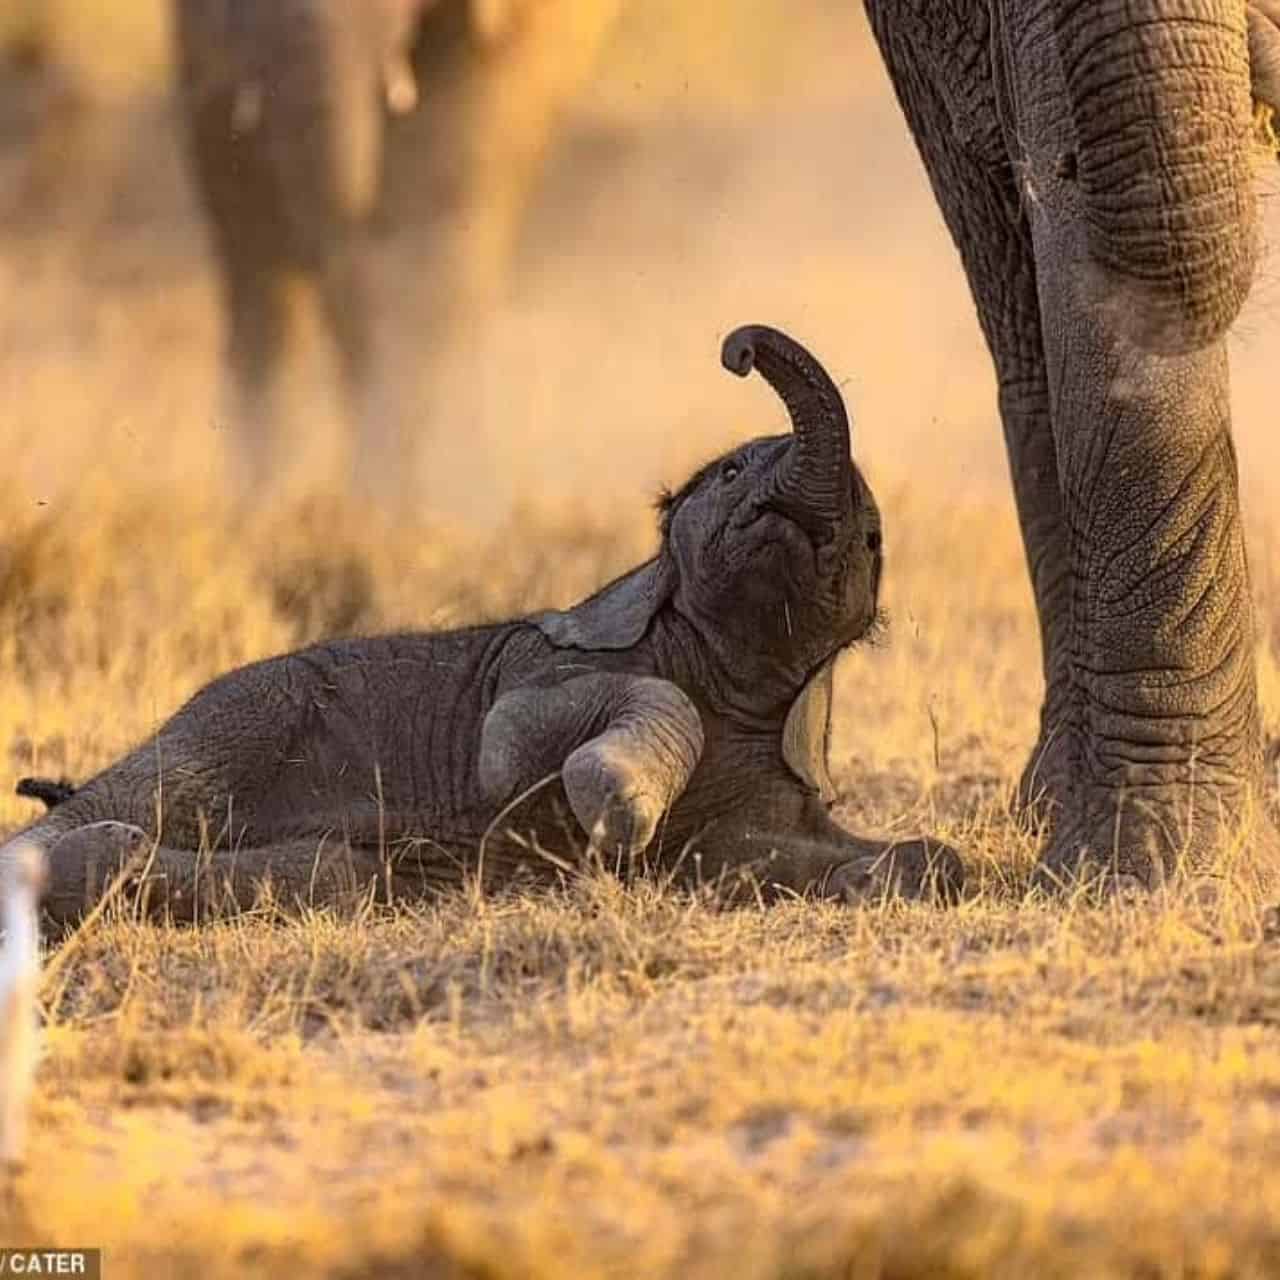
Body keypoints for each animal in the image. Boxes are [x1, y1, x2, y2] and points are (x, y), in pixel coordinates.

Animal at [2, 325, 963, 928]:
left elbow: (761, 856)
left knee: (332, 877)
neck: (725, 666)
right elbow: (512, 746)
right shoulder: (536, 669)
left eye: (870, 540)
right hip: (240, 717)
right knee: (138, 802)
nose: (740, 350)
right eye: (729, 473)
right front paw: (615, 813)